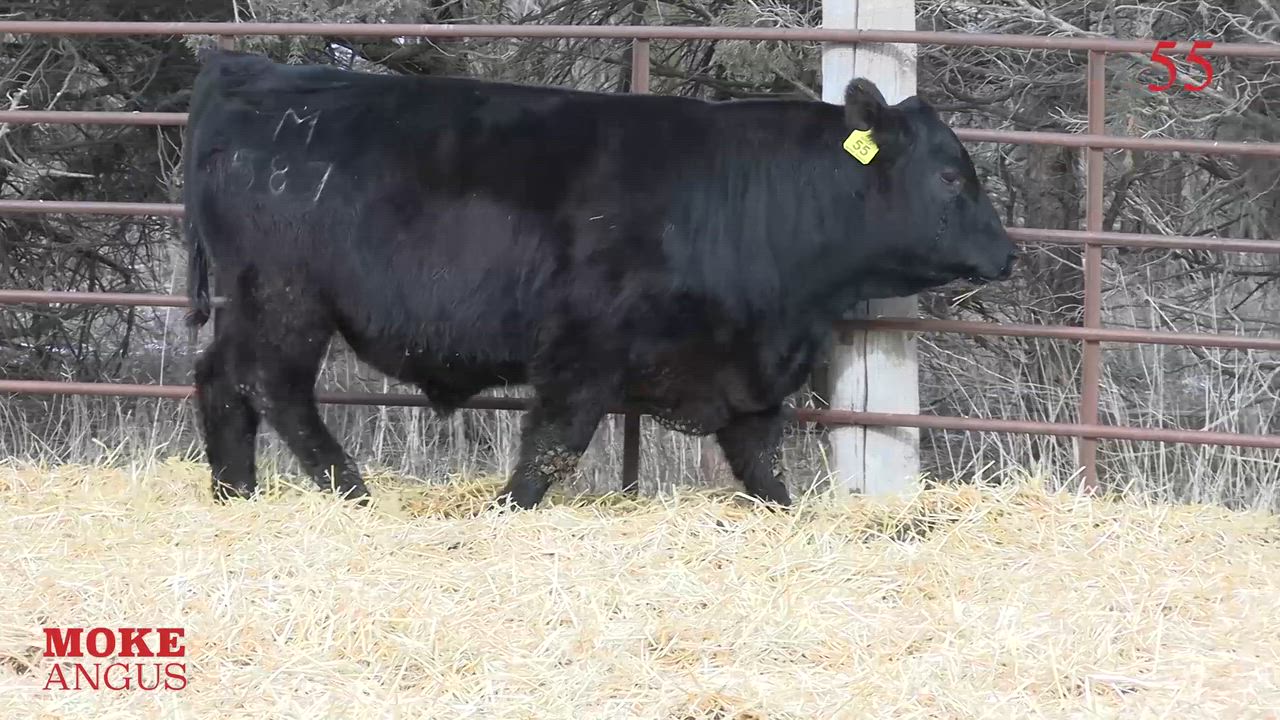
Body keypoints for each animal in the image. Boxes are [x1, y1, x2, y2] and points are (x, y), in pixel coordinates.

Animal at [182, 49, 1016, 510]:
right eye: (950, 176)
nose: (1006, 254)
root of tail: (247, 71)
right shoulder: (581, 350)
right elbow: (552, 447)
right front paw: (504, 511)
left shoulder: (748, 374)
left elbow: (764, 468)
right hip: (287, 297)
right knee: (273, 386)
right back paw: (348, 490)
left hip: (251, 301)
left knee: (220, 375)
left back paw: (233, 492)